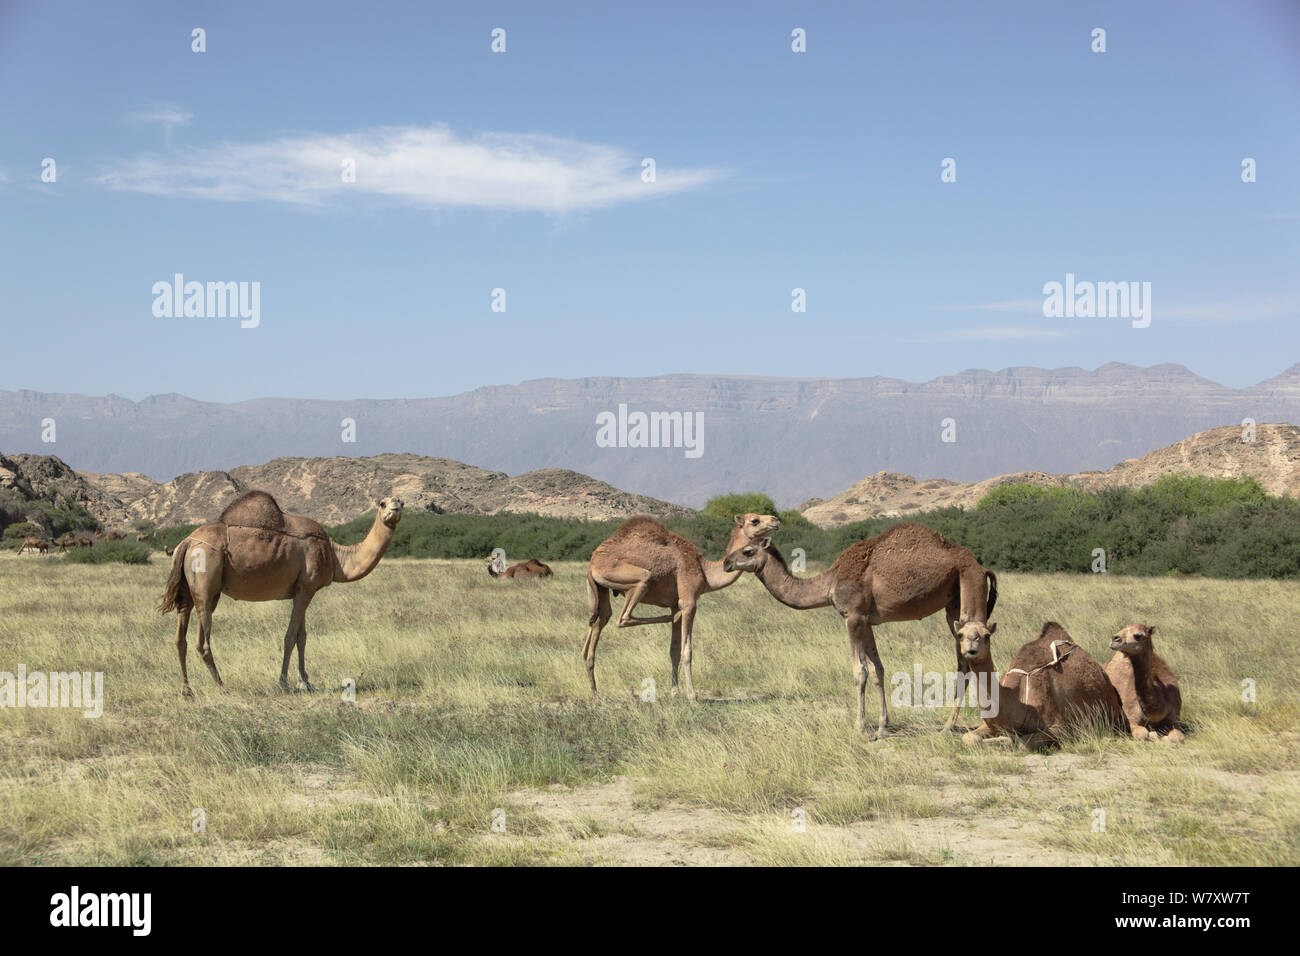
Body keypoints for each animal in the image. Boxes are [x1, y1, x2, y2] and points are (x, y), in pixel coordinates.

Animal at [157, 490, 403, 697]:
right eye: (382, 503)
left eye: (401, 501)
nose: (395, 508)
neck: (335, 556)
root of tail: (186, 543)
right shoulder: (306, 588)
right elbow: (290, 636)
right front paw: (284, 682)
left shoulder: (301, 591)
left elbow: (302, 637)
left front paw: (306, 682)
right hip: (207, 587)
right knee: (202, 641)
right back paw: (222, 687)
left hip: (187, 592)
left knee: (180, 638)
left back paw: (187, 690)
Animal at [583, 512, 781, 699]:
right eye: (754, 520)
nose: (776, 520)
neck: (705, 571)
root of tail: (592, 564)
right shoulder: (689, 601)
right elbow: (687, 650)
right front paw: (692, 695)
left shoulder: (675, 604)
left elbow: (674, 650)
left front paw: (675, 692)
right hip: (636, 576)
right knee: (623, 618)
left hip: (599, 590)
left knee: (599, 622)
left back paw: (595, 693)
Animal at [721, 523, 998, 735]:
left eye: (747, 551)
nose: (726, 562)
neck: (830, 582)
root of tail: (981, 567)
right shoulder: (866, 621)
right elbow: (878, 669)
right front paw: (883, 726)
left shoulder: (852, 617)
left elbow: (860, 671)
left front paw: (860, 726)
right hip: (953, 605)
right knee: (963, 660)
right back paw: (949, 725)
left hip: (969, 586)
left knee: (975, 647)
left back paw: (961, 726)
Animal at [959, 621, 1129, 750]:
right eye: (960, 634)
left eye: (987, 635)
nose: (972, 646)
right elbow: (968, 738)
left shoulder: (1064, 727)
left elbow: (1023, 743)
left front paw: (1006, 741)